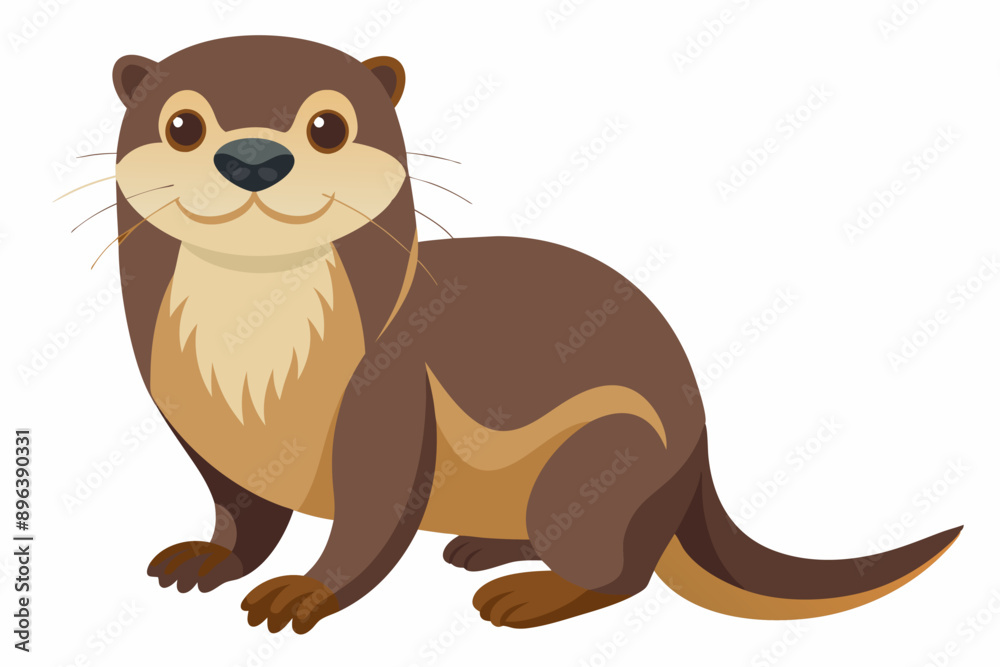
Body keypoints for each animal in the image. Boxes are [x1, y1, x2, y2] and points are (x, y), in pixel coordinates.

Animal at [106, 36, 960, 634]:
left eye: (326, 125)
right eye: (182, 122)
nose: (253, 155)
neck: (253, 370)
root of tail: (696, 457)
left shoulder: (389, 392)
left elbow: (373, 519)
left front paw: (305, 591)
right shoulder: (197, 428)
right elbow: (239, 510)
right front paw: (208, 557)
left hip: (608, 450)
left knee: (622, 572)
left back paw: (526, 593)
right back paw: (484, 549)